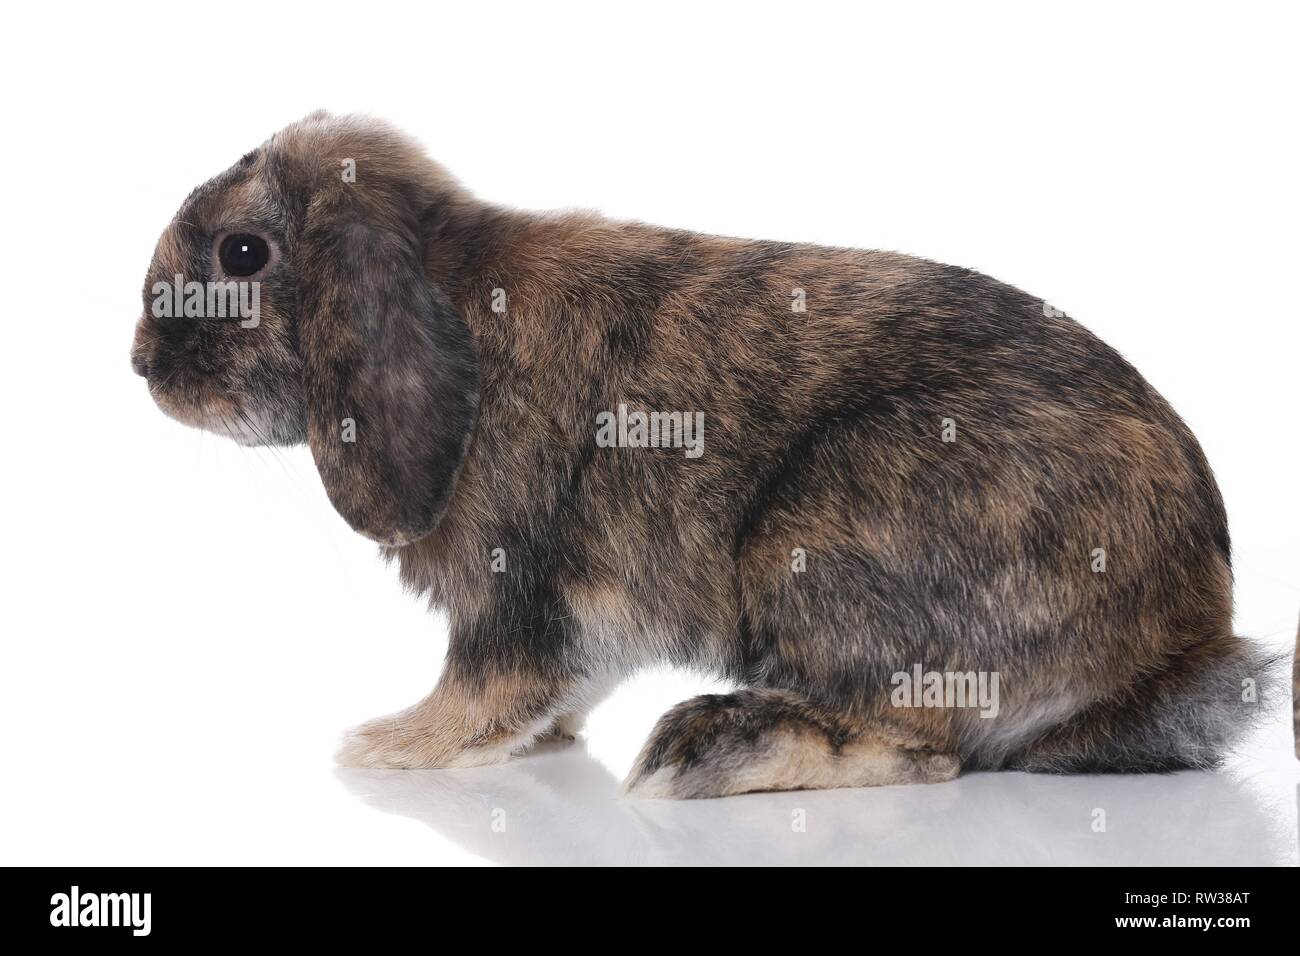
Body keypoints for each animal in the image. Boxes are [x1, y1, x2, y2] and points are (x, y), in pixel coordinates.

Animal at [132, 111, 1279, 799]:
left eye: (243, 253)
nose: (141, 362)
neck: (460, 301)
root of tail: (1181, 643)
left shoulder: (512, 590)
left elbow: (485, 683)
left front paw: (389, 747)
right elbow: (563, 687)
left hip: (819, 543)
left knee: (916, 744)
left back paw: (710, 745)